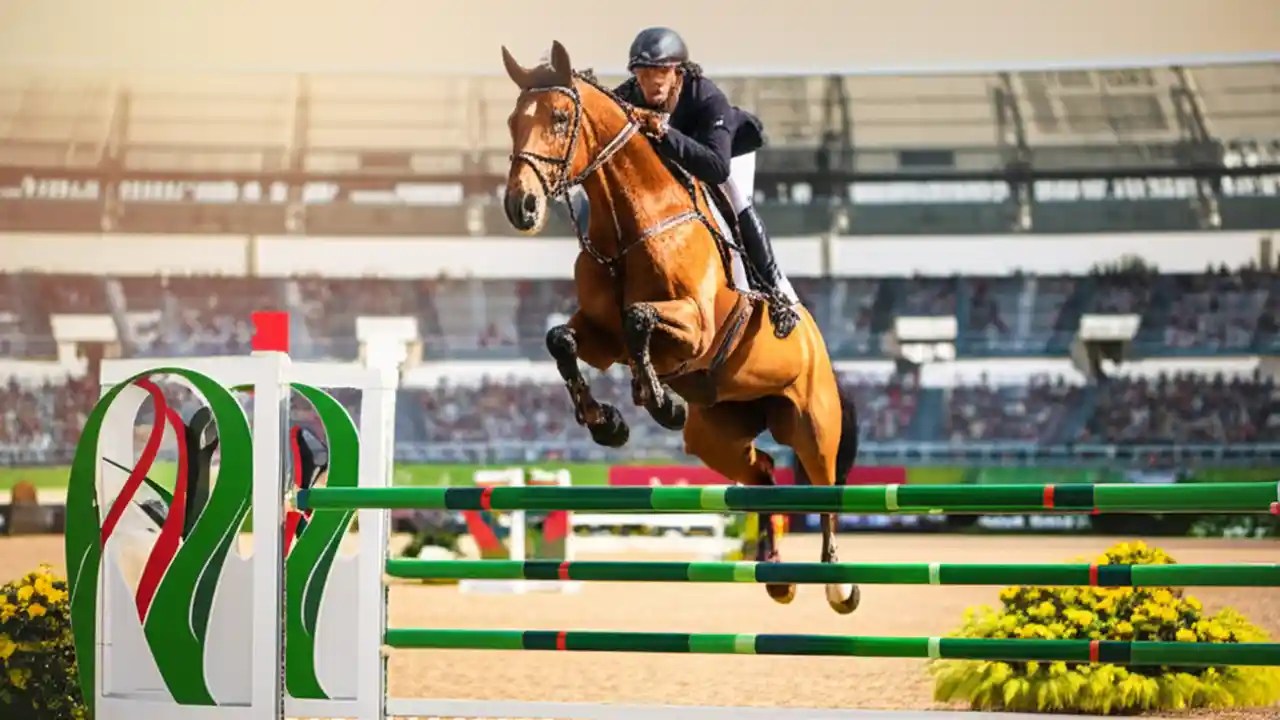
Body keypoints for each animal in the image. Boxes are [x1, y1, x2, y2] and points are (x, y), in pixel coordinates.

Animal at [499, 40, 861, 614]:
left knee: (823, 489)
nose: (522, 206)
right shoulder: (601, 337)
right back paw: (776, 574)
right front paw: (606, 421)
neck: (634, 222)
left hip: (813, 421)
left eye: (559, 117)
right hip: (716, 436)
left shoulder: (697, 328)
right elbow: (563, 340)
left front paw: (660, 401)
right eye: (513, 121)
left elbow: (640, 317)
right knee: (763, 472)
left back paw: (837, 583)